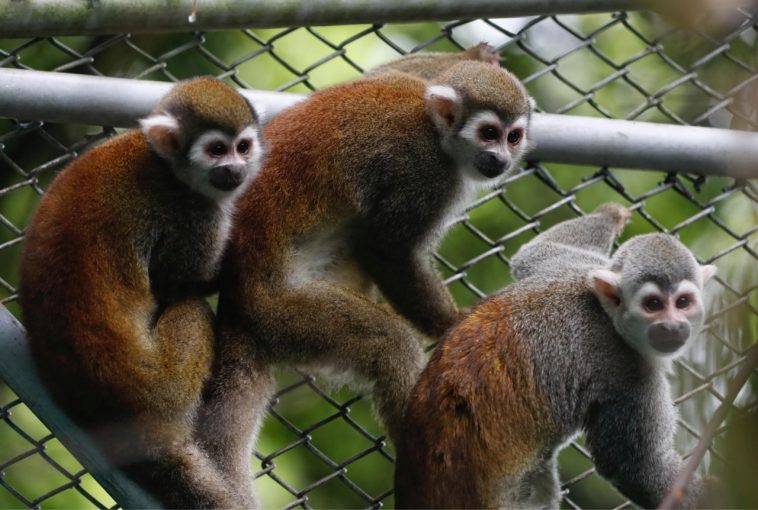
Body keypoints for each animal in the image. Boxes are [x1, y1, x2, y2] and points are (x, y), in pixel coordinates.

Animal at [19, 77, 264, 509]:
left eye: (243, 146)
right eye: (218, 149)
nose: (235, 169)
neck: (165, 164)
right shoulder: (190, 210)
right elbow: (180, 283)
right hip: (168, 389)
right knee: (192, 307)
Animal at [194, 57, 535, 505]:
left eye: (513, 137)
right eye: (489, 134)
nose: (501, 158)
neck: (436, 132)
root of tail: (235, 298)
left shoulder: (406, 86)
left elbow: (383, 75)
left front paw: (477, 54)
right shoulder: (424, 174)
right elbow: (387, 249)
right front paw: (454, 325)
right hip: (283, 314)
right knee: (389, 342)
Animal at [394, 203, 717, 509]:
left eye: (683, 302)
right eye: (653, 305)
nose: (673, 327)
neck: (609, 317)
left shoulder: (568, 268)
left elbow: (532, 254)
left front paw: (609, 214)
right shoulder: (627, 372)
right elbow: (635, 469)